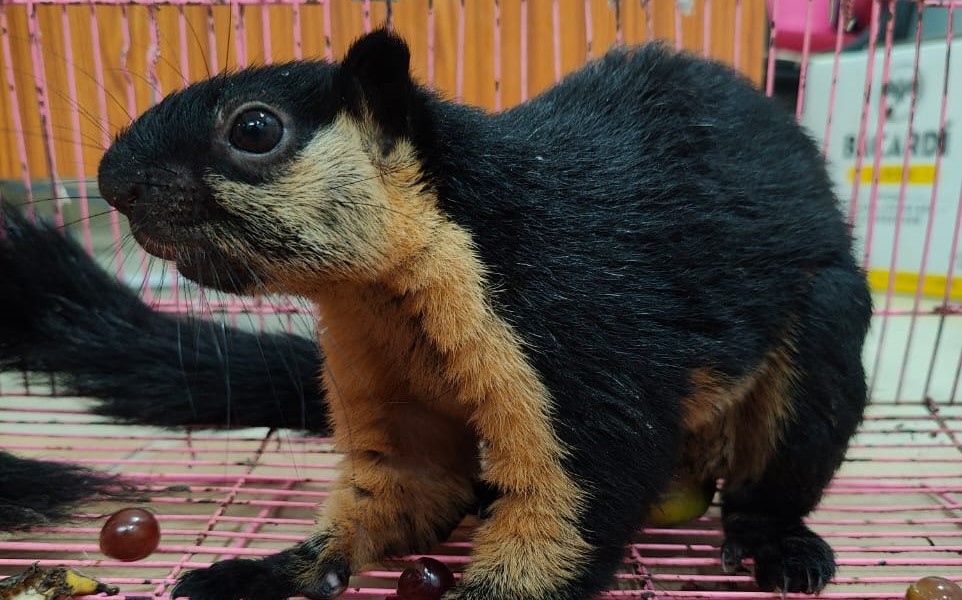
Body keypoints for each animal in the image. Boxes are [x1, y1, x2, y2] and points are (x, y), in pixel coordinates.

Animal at [1, 28, 871, 600]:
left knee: (774, 479)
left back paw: (778, 547)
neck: (390, 292)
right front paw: (263, 571)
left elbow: (566, 514)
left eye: (255, 128)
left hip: (818, 351)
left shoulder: (581, 341)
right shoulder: (382, 378)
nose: (111, 180)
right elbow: (400, 490)